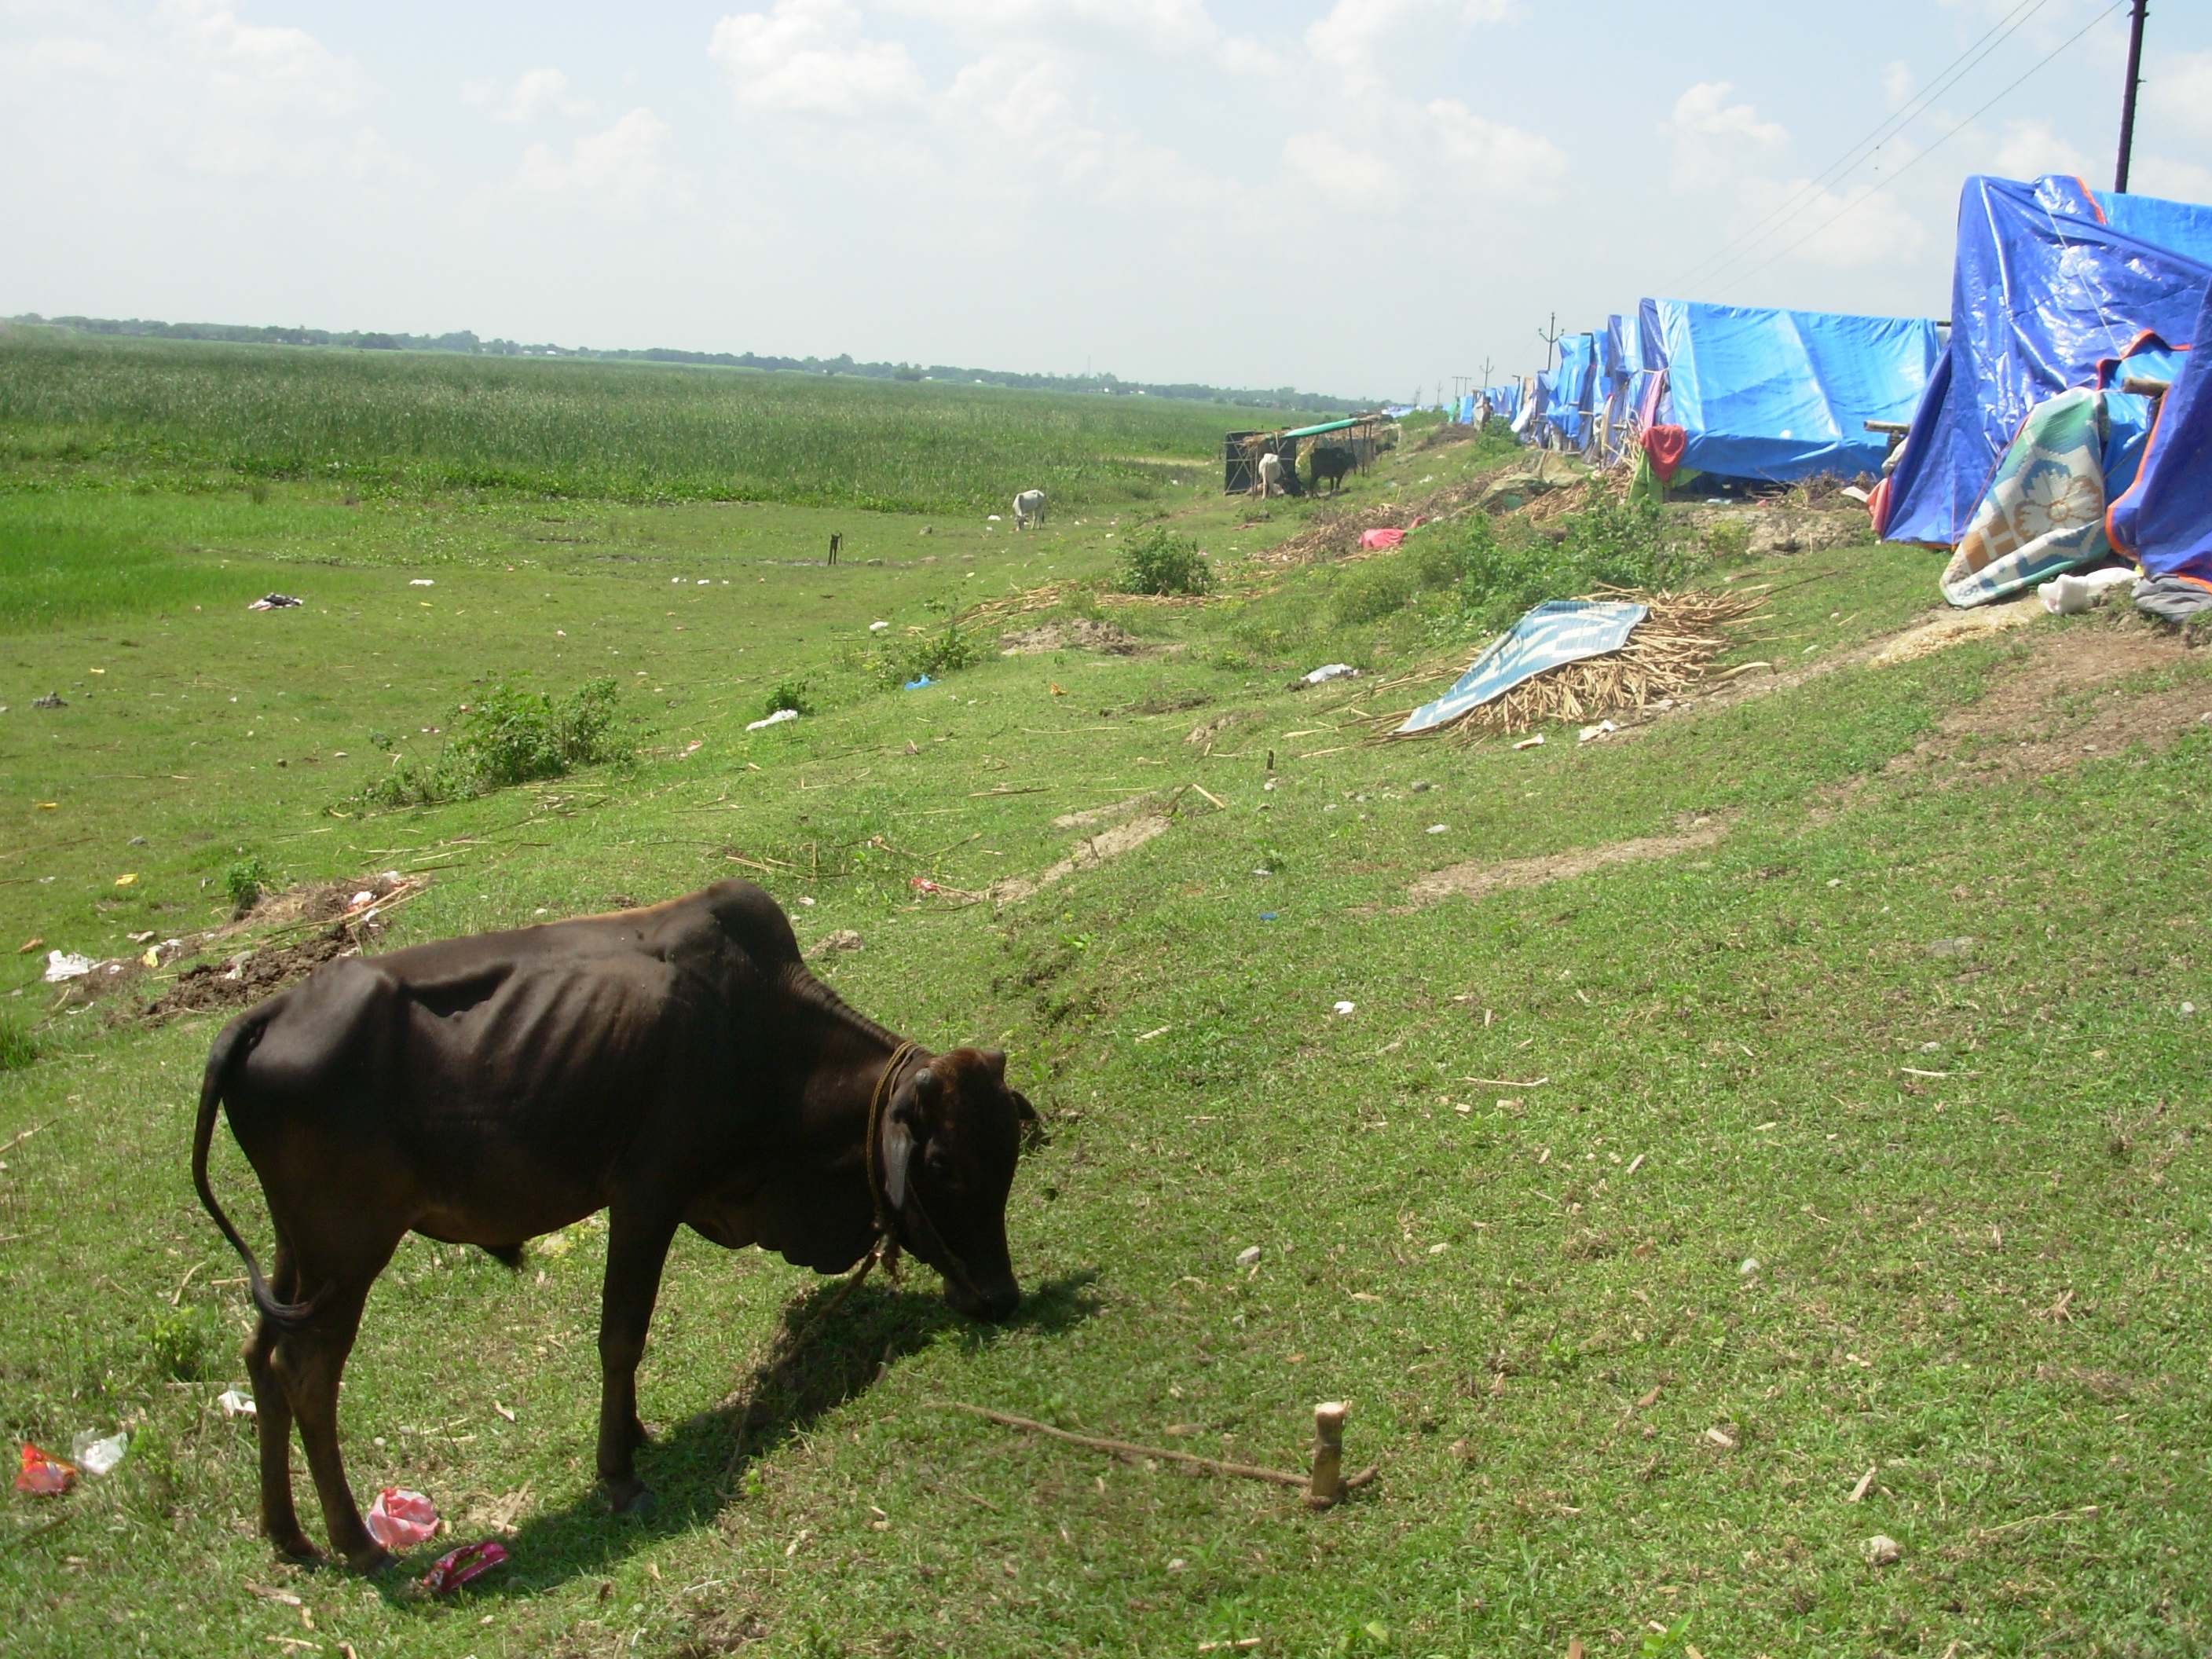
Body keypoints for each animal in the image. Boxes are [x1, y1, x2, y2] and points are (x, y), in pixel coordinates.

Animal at [191, 880, 1037, 1572]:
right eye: (942, 1167)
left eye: (1006, 1156)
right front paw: (618, 1474)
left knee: (261, 1358)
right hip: (348, 1252)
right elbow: (621, 1337)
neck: (761, 1034)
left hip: (297, 1252)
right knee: (307, 1374)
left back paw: (288, 1534)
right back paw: (356, 1543)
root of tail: (262, 1015)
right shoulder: (647, 1196)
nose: (1000, 1296)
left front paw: (631, 1436)